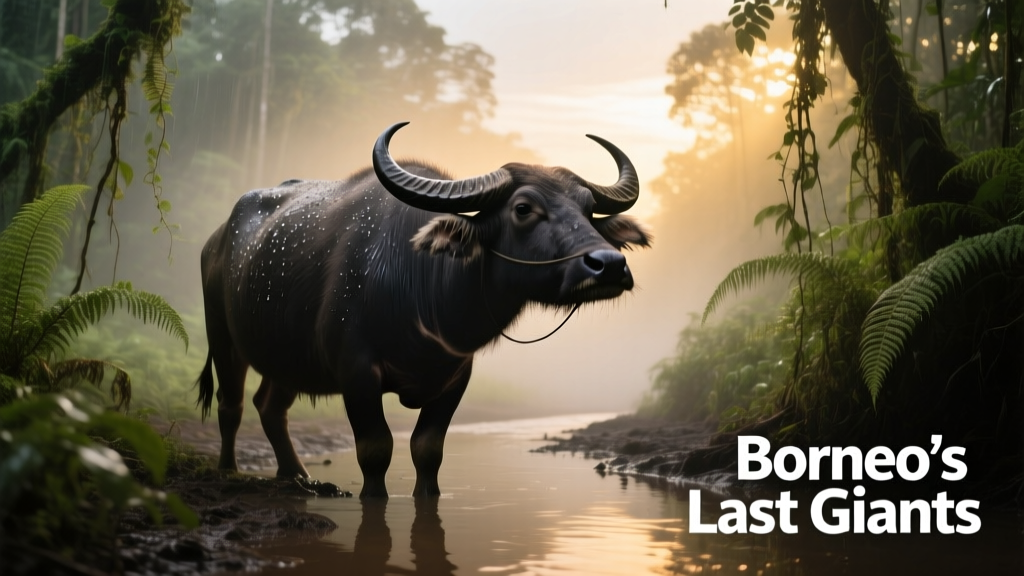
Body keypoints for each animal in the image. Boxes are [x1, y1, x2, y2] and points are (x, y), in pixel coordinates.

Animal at [196, 122, 651, 498]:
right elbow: (375, 450)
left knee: (270, 406)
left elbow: (428, 450)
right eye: (523, 208)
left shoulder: (455, 377)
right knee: (231, 403)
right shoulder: (356, 372)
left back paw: (296, 475)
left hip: (287, 355)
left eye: (589, 210)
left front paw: (427, 498)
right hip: (222, 335)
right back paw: (228, 470)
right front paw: (373, 501)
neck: (421, 290)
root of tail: (216, 238)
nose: (609, 264)